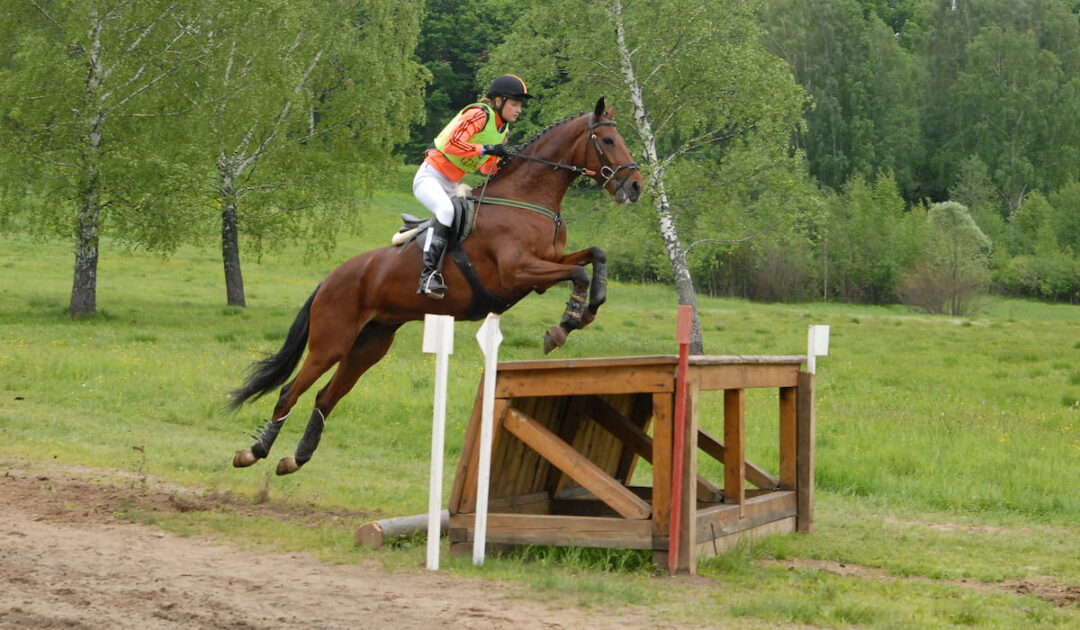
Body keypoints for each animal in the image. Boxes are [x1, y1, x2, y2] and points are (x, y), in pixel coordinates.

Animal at [229, 97, 643, 476]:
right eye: (608, 140)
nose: (636, 186)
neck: (527, 199)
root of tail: (330, 278)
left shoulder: (549, 263)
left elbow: (595, 256)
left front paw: (588, 310)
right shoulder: (518, 272)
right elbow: (580, 274)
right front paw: (565, 324)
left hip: (370, 344)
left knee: (326, 396)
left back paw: (295, 459)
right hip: (331, 342)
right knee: (291, 391)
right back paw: (253, 452)